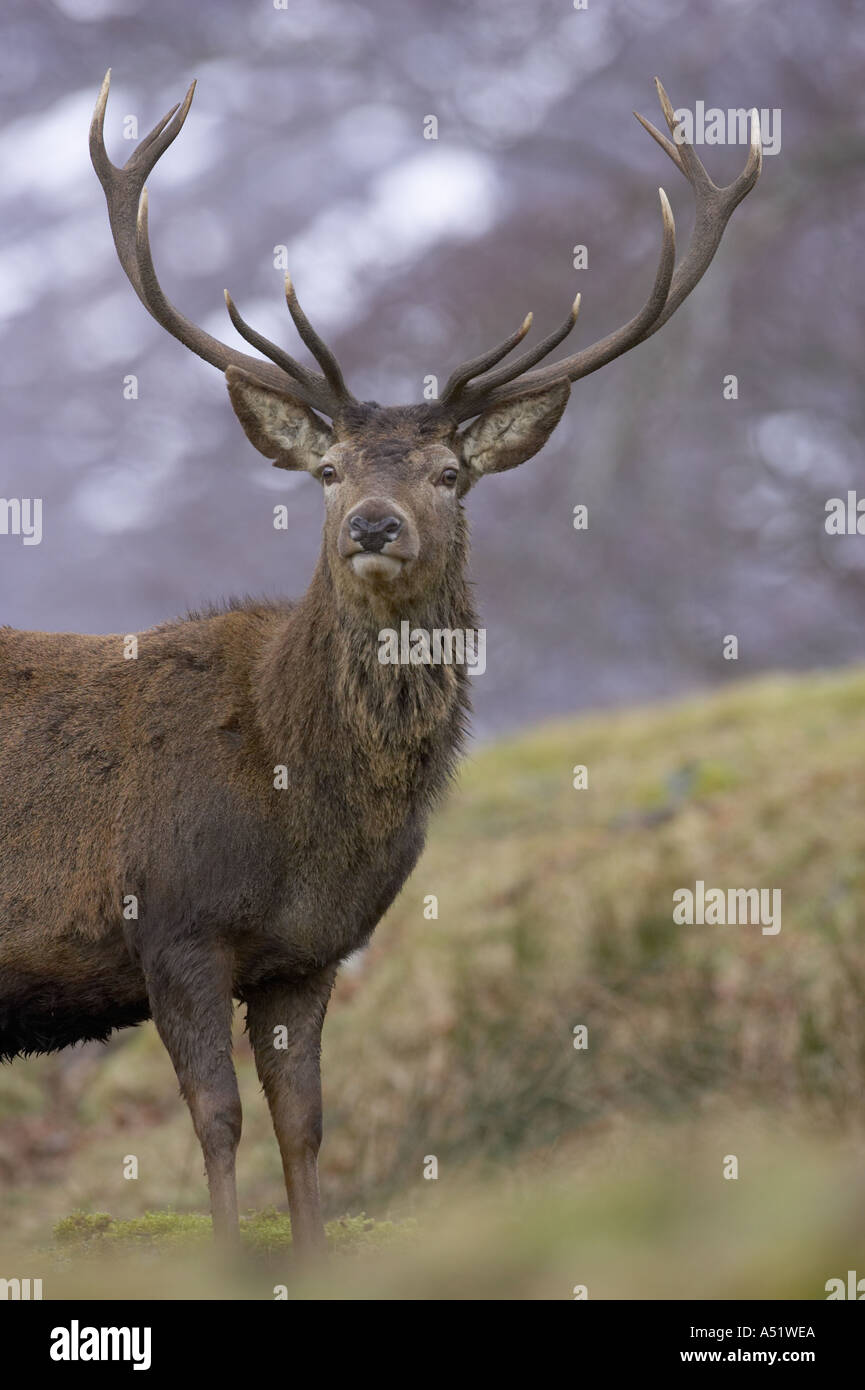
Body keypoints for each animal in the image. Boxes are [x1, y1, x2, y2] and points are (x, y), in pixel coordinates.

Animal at [0, 73, 761, 1254]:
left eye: (450, 473)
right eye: (327, 471)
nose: (370, 524)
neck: (297, 803)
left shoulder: (308, 954)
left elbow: (305, 1123)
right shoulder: (173, 922)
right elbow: (216, 1119)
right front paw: (226, 1260)